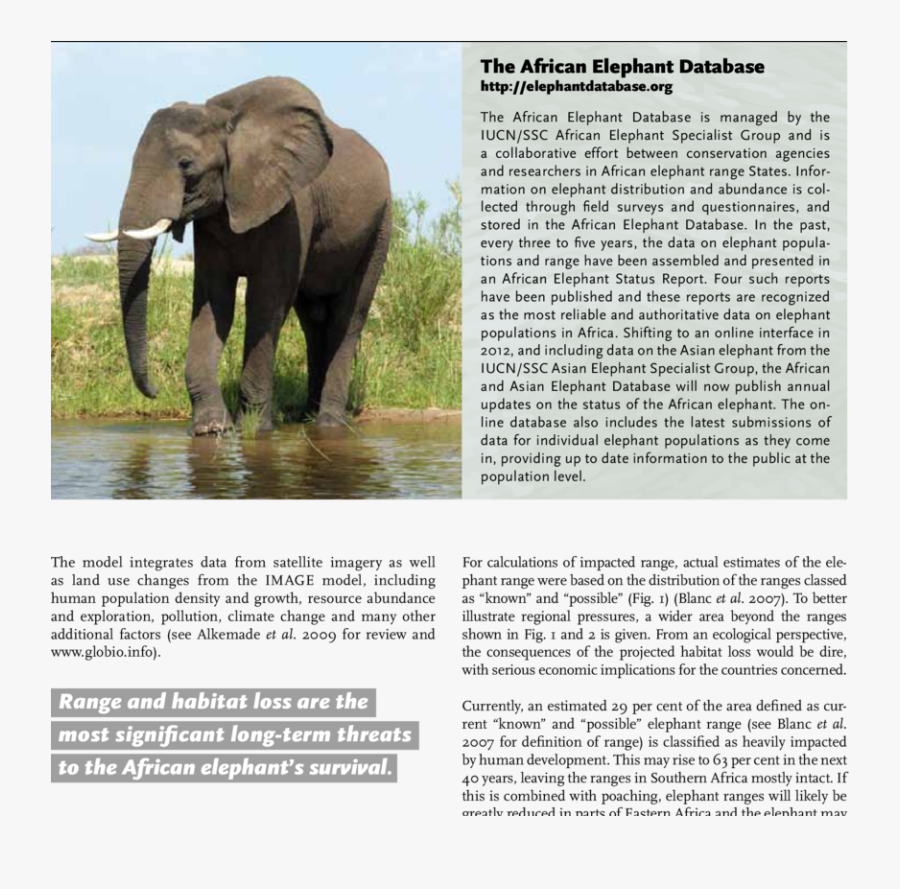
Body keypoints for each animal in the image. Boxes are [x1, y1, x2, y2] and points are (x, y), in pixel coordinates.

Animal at [87, 76, 392, 434]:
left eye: (186, 164)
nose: (154, 391)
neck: (225, 120)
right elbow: (214, 301)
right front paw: (211, 429)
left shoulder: (292, 209)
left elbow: (266, 302)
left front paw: (254, 430)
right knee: (313, 318)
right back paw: (307, 415)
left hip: (380, 226)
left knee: (349, 316)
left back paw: (328, 424)